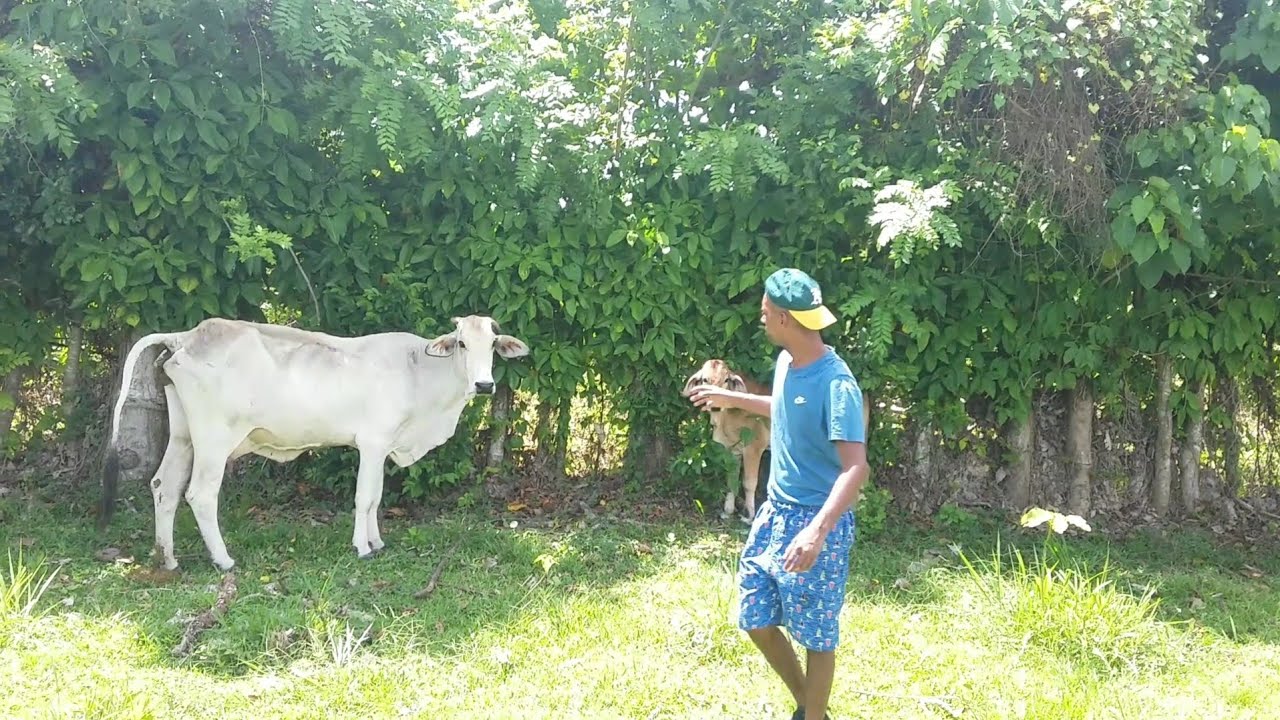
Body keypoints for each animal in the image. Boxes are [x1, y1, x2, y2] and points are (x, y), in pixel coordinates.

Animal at [98, 315, 529, 572]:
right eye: (461, 343)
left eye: (492, 346)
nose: (484, 384)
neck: (418, 370)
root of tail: (186, 335)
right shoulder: (372, 442)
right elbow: (364, 497)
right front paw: (362, 547)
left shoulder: (380, 447)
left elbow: (376, 496)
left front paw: (377, 541)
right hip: (214, 441)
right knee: (199, 495)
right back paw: (224, 560)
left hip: (184, 436)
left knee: (163, 487)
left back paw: (167, 558)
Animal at [682, 359, 771, 522]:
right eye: (705, 379)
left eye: (726, 379)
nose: (714, 403)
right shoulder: (732, 451)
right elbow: (731, 480)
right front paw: (728, 511)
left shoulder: (753, 448)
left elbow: (749, 483)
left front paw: (749, 516)